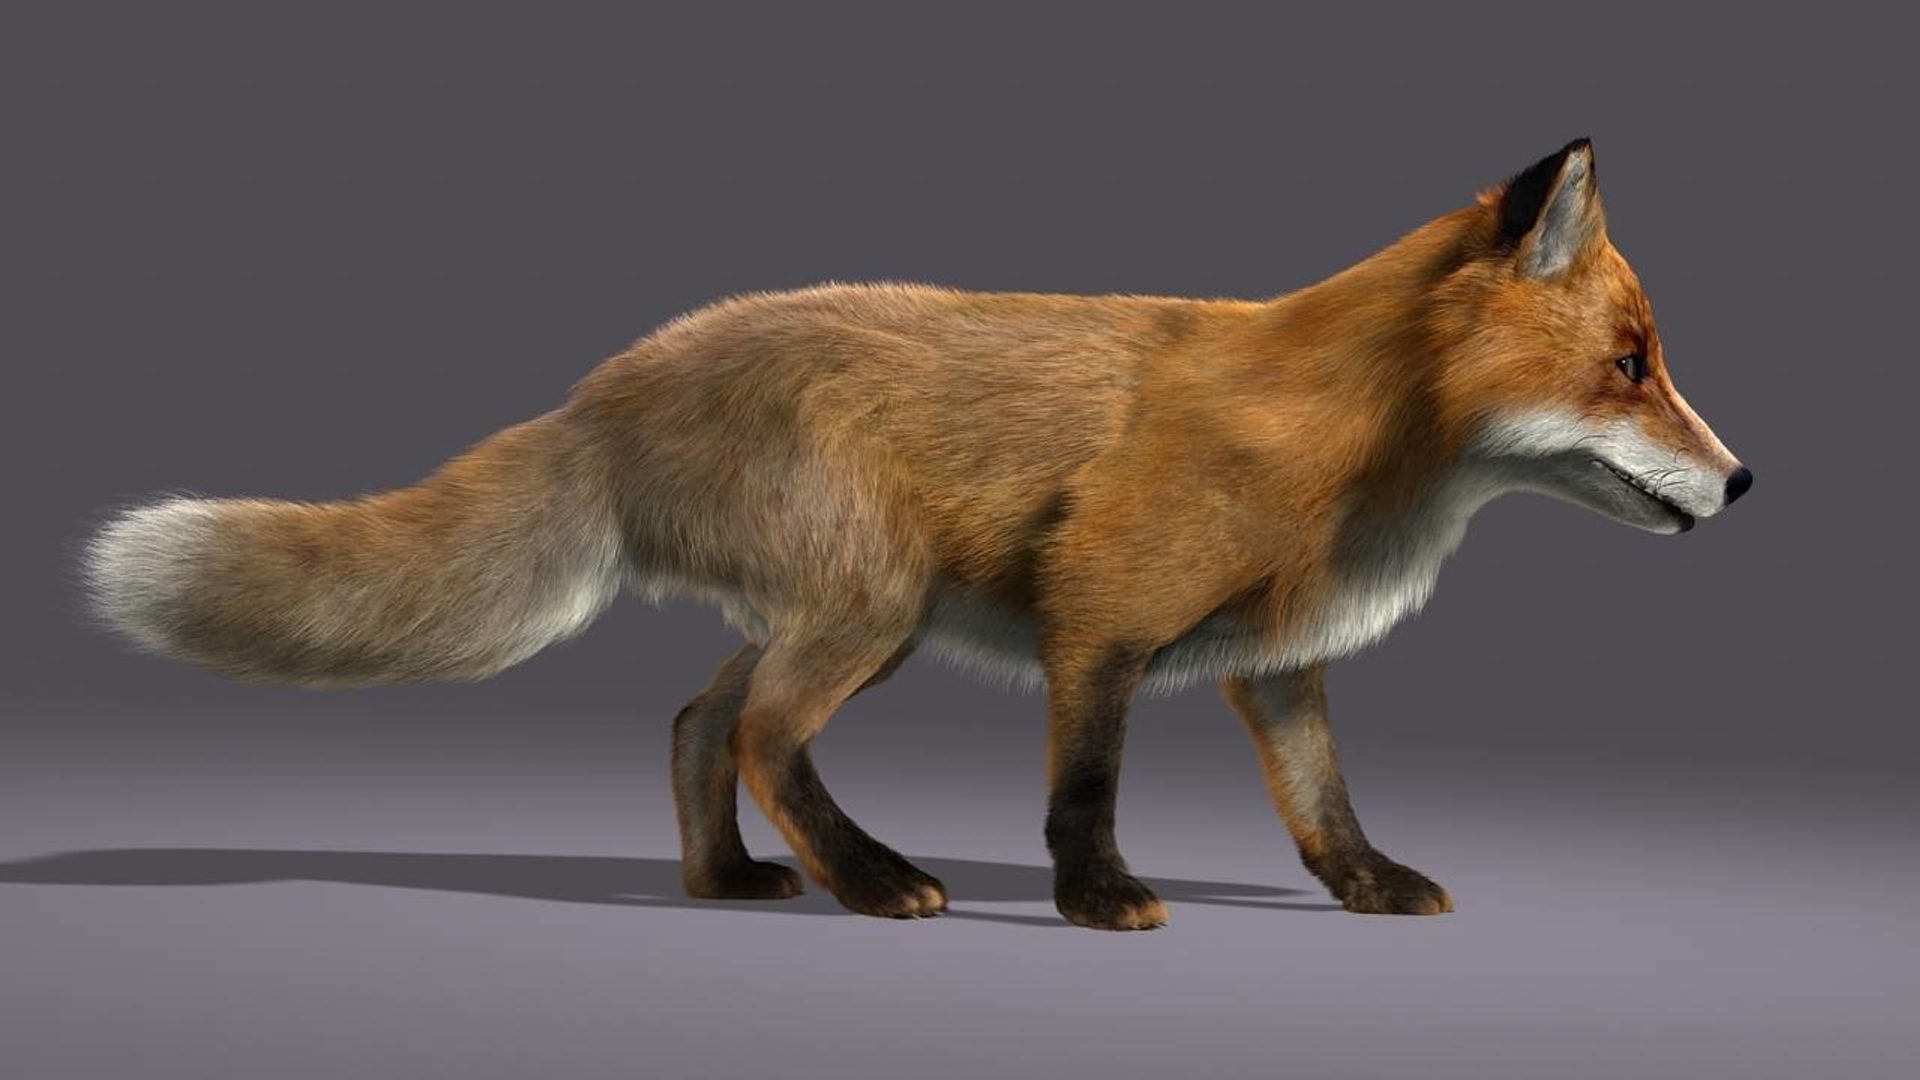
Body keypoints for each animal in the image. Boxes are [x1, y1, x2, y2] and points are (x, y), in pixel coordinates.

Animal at [84, 139, 1751, 930]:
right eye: (1631, 364)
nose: (1744, 485)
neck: (1346, 438)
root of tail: (608, 384)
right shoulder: (1100, 615)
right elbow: (1082, 792)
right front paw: (1095, 903)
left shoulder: (1277, 664)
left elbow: (1324, 804)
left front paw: (1368, 887)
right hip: (873, 611)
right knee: (761, 733)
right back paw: (873, 878)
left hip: (838, 617)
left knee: (698, 722)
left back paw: (730, 882)